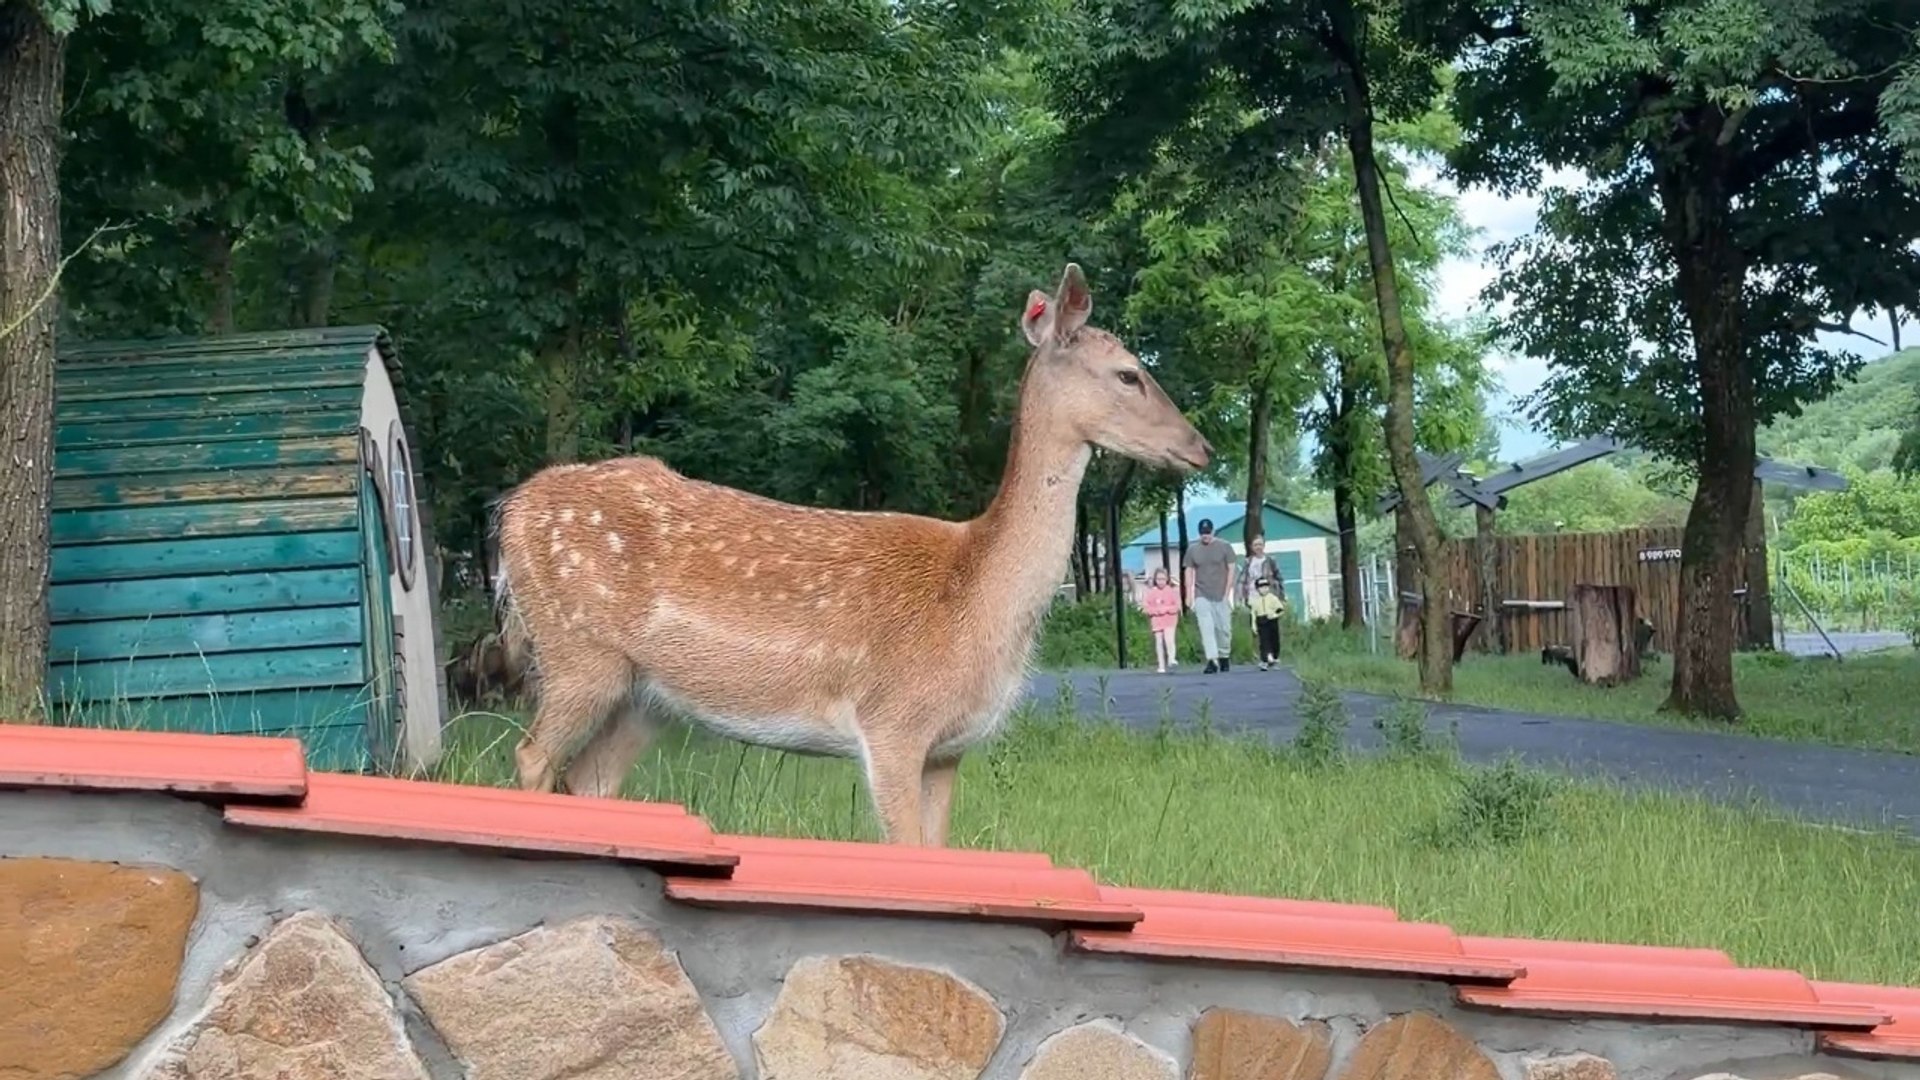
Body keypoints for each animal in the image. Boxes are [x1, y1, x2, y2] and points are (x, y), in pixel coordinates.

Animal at [490, 262, 1212, 846]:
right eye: (1129, 373)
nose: (1200, 447)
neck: (978, 595)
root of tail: (512, 512)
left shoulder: (948, 748)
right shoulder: (892, 721)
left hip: (646, 697)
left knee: (589, 776)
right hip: (577, 651)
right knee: (532, 757)